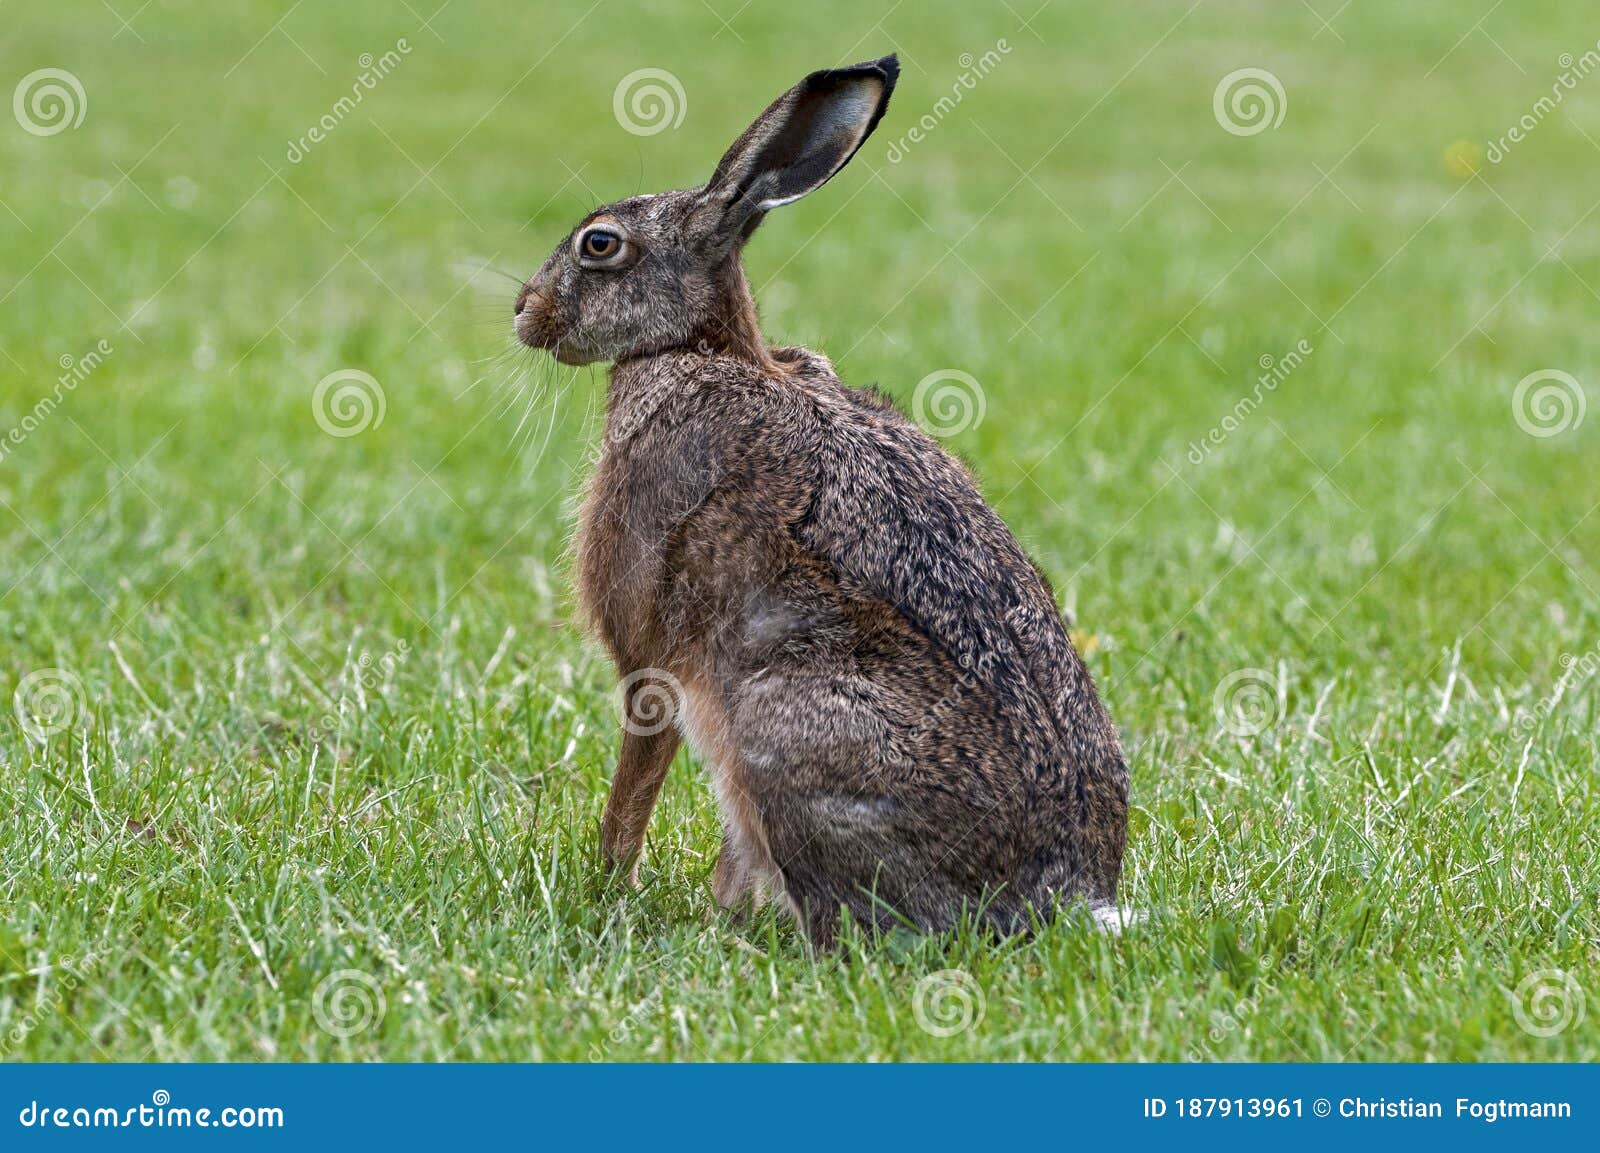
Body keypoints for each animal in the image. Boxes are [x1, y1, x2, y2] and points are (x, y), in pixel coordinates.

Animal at [514, 54, 1128, 947]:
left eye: (600, 244)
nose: (524, 312)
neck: (701, 347)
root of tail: (1066, 894)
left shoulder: (650, 653)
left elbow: (635, 782)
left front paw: (606, 888)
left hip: (784, 724)